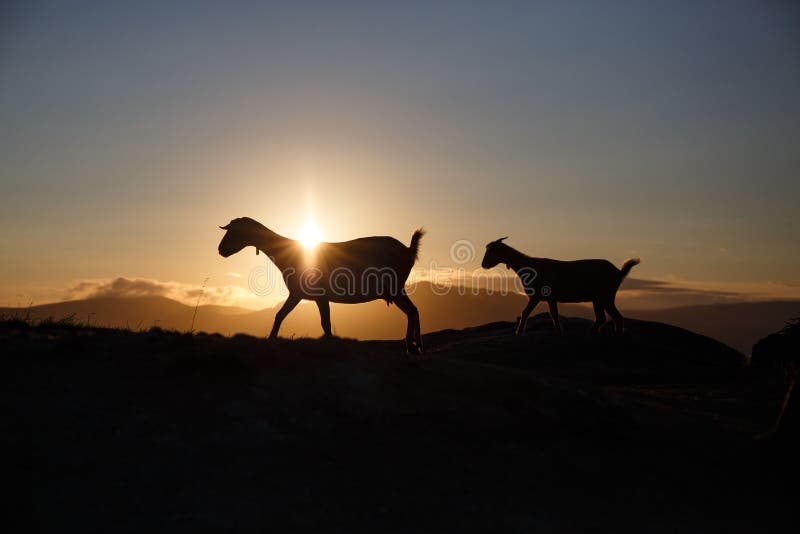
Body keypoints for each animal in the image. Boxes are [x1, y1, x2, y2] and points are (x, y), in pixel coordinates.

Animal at [218, 217, 425, 353]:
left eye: (235, 231)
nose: (220, 250)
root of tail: (409, 250)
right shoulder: (311, 296)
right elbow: (292, 317)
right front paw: (271, 338)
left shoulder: (307, 294)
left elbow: (320, 322)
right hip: (397, 289)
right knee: (413, 311)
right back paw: (414, 344)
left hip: (396, 287)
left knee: (413, 311)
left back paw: (412, 345)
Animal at [481, 237, 640, 335]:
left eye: (491, 251)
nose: (483, 265)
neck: (527, 265)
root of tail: (619, 272)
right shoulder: (551, 298)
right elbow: (554, 315)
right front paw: (559, 332)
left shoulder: (536, 296)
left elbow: (525, 313)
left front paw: (518, 332)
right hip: (599, 298)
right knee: (604, 318)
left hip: (606, 295)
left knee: (616, 317)